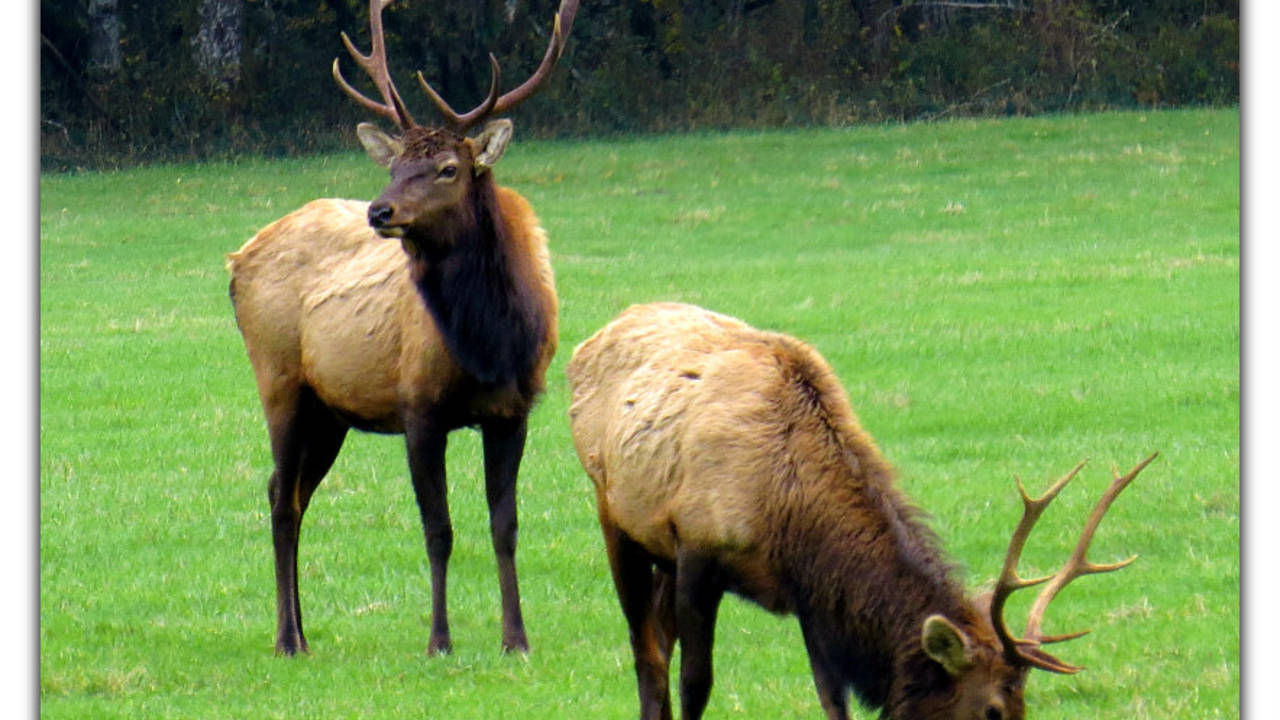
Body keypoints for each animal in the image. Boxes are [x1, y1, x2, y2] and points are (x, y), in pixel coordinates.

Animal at [226, 0, 578, 657]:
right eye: (394, 164)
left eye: (447, 167)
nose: (378, 211)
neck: (490, 342)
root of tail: (237, 260)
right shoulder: (419, 406)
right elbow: (438, 529)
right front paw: (439, 640)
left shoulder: (515, 408)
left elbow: (505, 524)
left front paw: (515, 639)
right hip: (279, 379)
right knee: (280, 496)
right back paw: (287, 638)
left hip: (330, 411)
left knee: (296, 492)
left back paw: (303, 632)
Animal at [566, 302, 1155, 720]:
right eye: (991, 710)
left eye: (1025, 706)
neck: (786, 513)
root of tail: (589, 342)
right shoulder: (698, 549)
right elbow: (695, 683)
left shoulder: (810, 593)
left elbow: (833, 696)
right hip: (614, 513)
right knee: (648, 655)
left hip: (657, 549)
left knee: (656, 642)